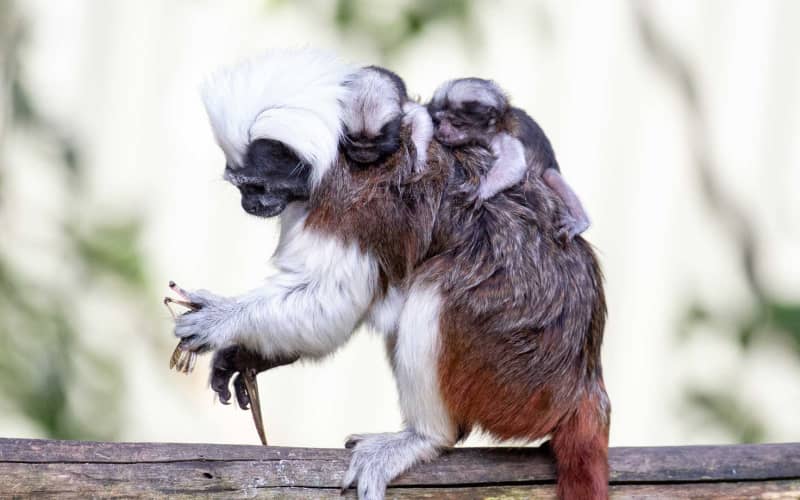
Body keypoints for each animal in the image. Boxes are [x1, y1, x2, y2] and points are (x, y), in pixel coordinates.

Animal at [428, 77, 591, 241]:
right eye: (439, 121)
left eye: (456, 124)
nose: (442, 131)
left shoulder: (504, 135)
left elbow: (515, 165)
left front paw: (483, 188)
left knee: (551, 175)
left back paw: (581, 222)